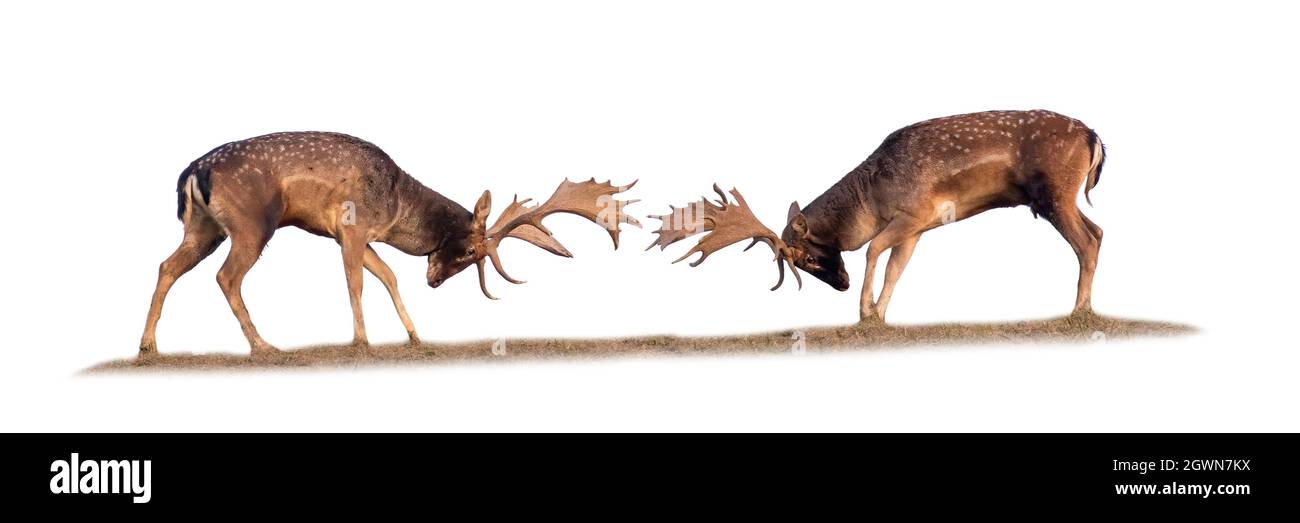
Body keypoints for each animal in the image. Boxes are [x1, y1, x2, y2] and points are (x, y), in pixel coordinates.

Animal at [139, 131, 639, 356]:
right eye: (471, 252)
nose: (434, 282)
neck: (397, 206)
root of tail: (193, 172)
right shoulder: (351, 228)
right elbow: (356, 282)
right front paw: (362, 339)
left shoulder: (366, 238)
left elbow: (389, 276)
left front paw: (415, 334)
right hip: (252, 224)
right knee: (226, 276)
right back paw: (263, 345)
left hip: (203, 228)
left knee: (166, 266)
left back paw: (148, 345)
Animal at [649, 110, 1106, 323]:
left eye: (807, 257)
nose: (842, 285)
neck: (870, 198)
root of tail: (1093, 136)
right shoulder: (917, 228)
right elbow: (896, 268)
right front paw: (880, 315)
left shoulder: (913, 212)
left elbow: (872, 251)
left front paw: (864, 311)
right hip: (1063, 199)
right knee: (1099, 232)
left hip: (1054, 195)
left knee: (1086, 241)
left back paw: (1079, 311)